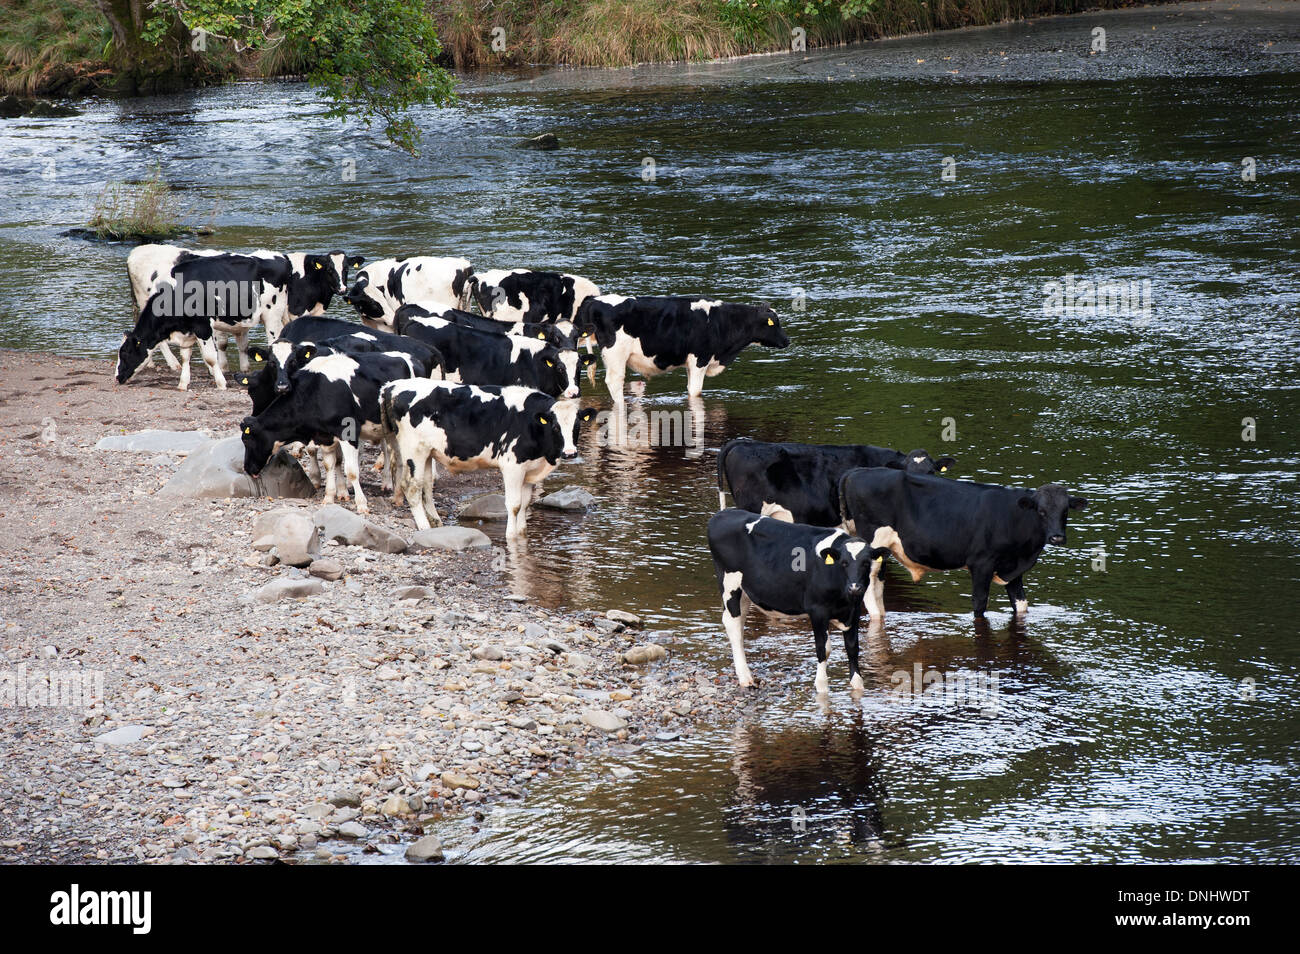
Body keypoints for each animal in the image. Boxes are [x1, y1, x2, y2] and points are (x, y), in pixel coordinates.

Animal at [240, 349, 421, 512]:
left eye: (247, 440)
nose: (247, 468)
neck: (316, 391)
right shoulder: (324, 436)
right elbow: (329, 465)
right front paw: (329, 497)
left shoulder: (348, 433)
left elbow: (352, 471)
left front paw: (361, 504)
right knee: (398, 459)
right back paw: (397, 497)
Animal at [380, 380, 597, 537]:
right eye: (555, 427)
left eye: (577, 425)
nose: (570, 452)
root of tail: (392, 386)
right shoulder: (512, 465)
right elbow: (514, 505)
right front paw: (511, 537)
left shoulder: (529, 469)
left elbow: (525, 503)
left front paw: (522, 533)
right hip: (413, 450)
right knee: (411, 487)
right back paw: (424, 527)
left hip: (427, 452)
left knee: (425, 486)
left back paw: (436, 523)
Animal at [577, 295, 789, 404]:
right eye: (775, 323)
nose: (787, 341)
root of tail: (594, 300)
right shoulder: (700, 359)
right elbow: (695, 391)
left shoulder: (690, 363)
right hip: (615, 355)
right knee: (615, 383)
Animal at [707, 509, 873, 694]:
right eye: (844, 563)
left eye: (866, 563)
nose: (855, 587)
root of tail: (724, 513)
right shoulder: (817, 610)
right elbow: (824, 648)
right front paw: (821, 686)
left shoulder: (854, 609)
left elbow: (852, 647)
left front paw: (857, 686)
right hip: (729, 583)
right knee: (733, 625)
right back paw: (745, 678)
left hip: (744, 591)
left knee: (740, 622)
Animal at [838, 468, 1087, 620]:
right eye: (1041, 511)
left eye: (1065, 511)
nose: (1057, 537)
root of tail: (857, 472)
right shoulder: (982, 563)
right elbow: (979, 603)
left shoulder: (1013, 569)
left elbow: (1021, 605)